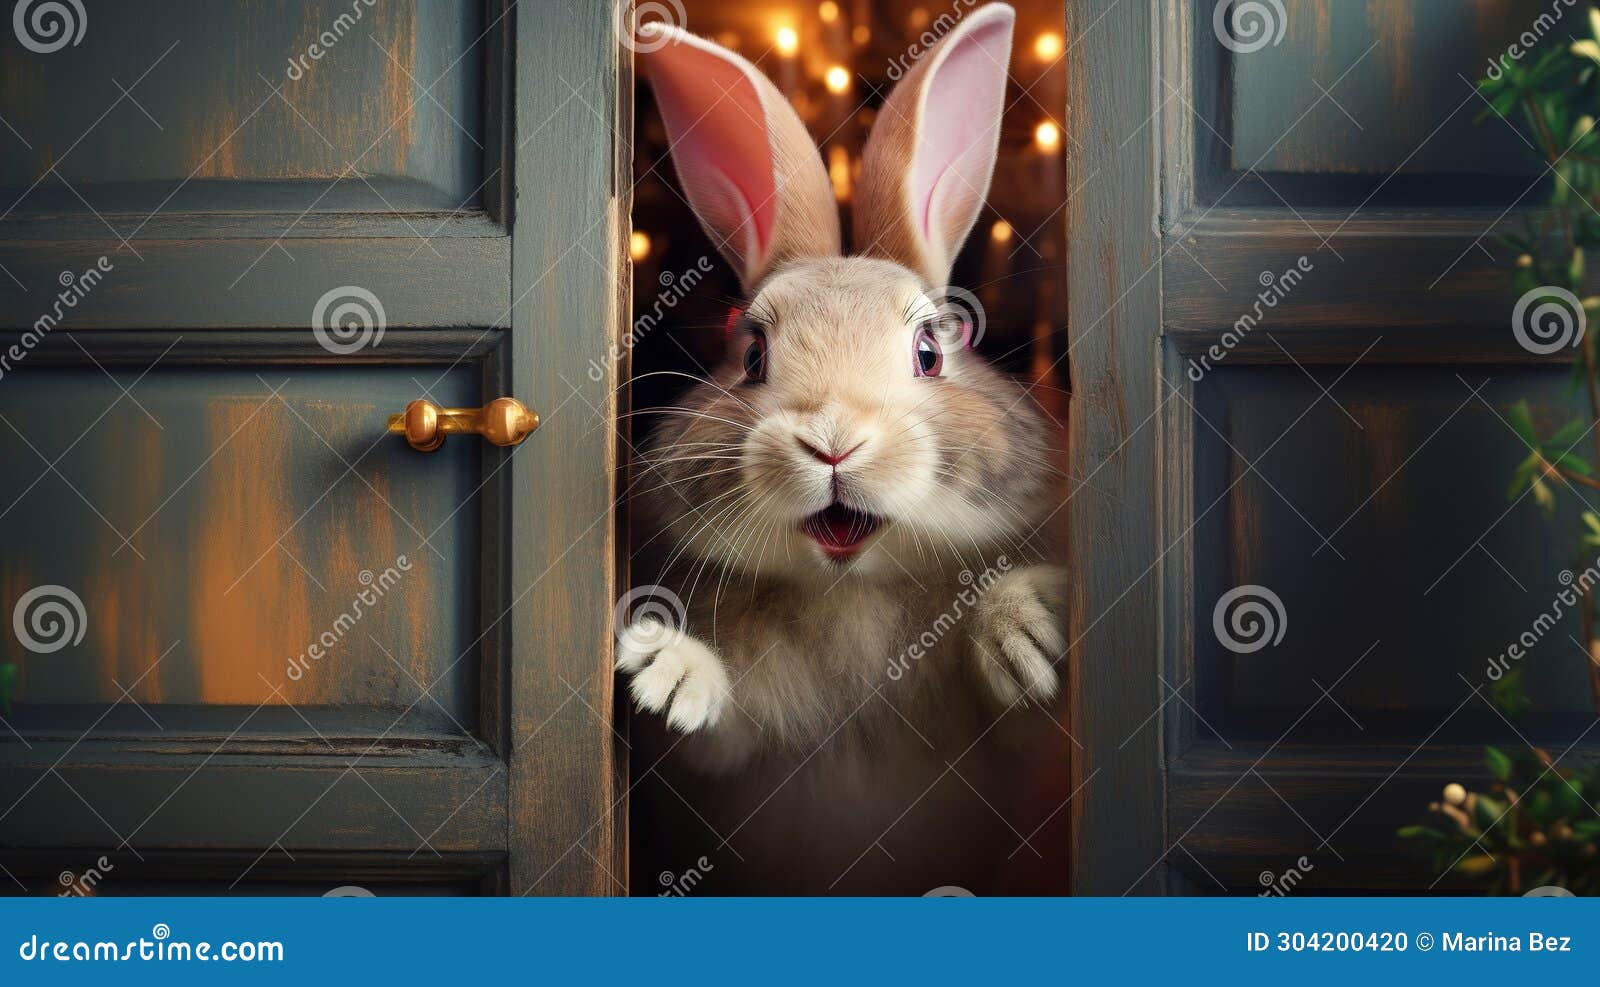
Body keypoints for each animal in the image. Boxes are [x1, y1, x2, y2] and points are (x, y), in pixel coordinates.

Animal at [622, 3, 1072, 894]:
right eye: (750, 351)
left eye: (932, 349)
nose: (833, 442)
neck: (851, 591)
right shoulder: (706, 771)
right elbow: (709, 732)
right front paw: (666, 671)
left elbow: (1027, 709)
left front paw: (1025, 629)